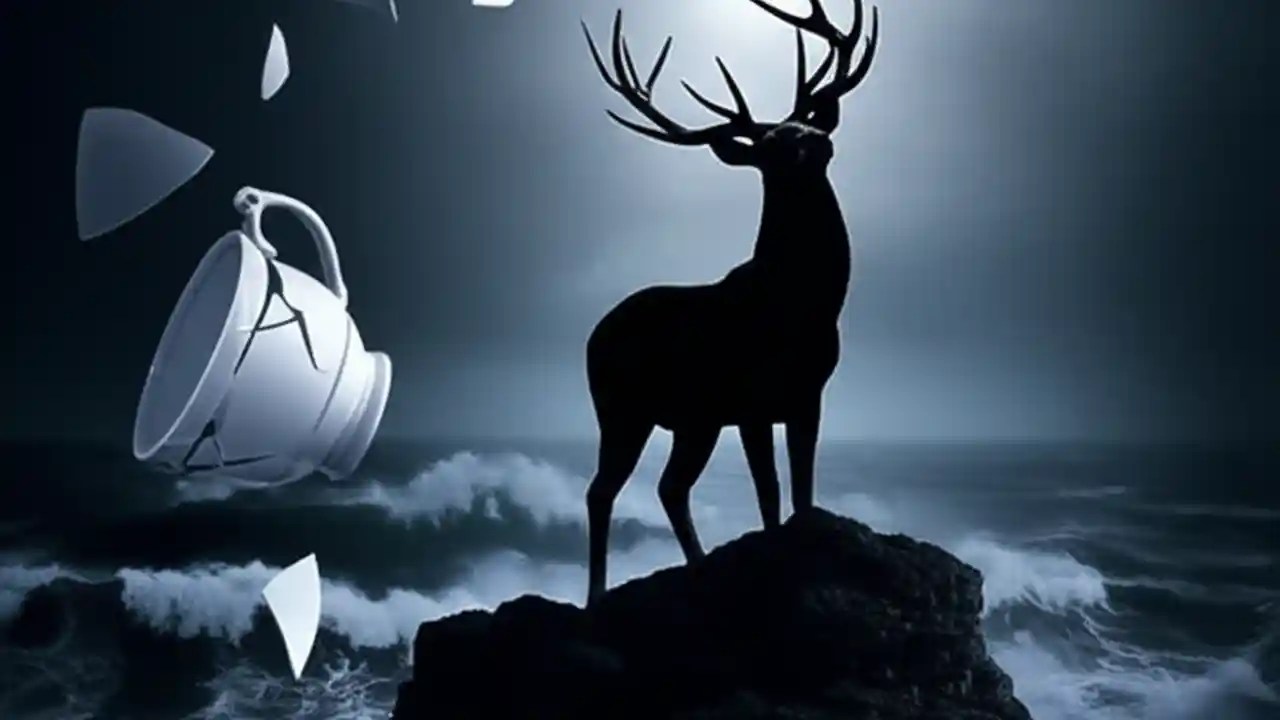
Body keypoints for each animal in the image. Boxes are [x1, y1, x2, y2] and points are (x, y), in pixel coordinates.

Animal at [580, 0, 881, 607]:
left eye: (806, 122)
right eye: (769, 145)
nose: (813, 140)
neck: (804, 309)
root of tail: (591, 337)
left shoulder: (808, 395)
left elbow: (803, 491)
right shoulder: (749, 403)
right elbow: (768, 495)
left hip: (692, 420)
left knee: (669, 487)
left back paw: (696, 566)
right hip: (622, 407)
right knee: (604, 490)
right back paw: (597, 595)